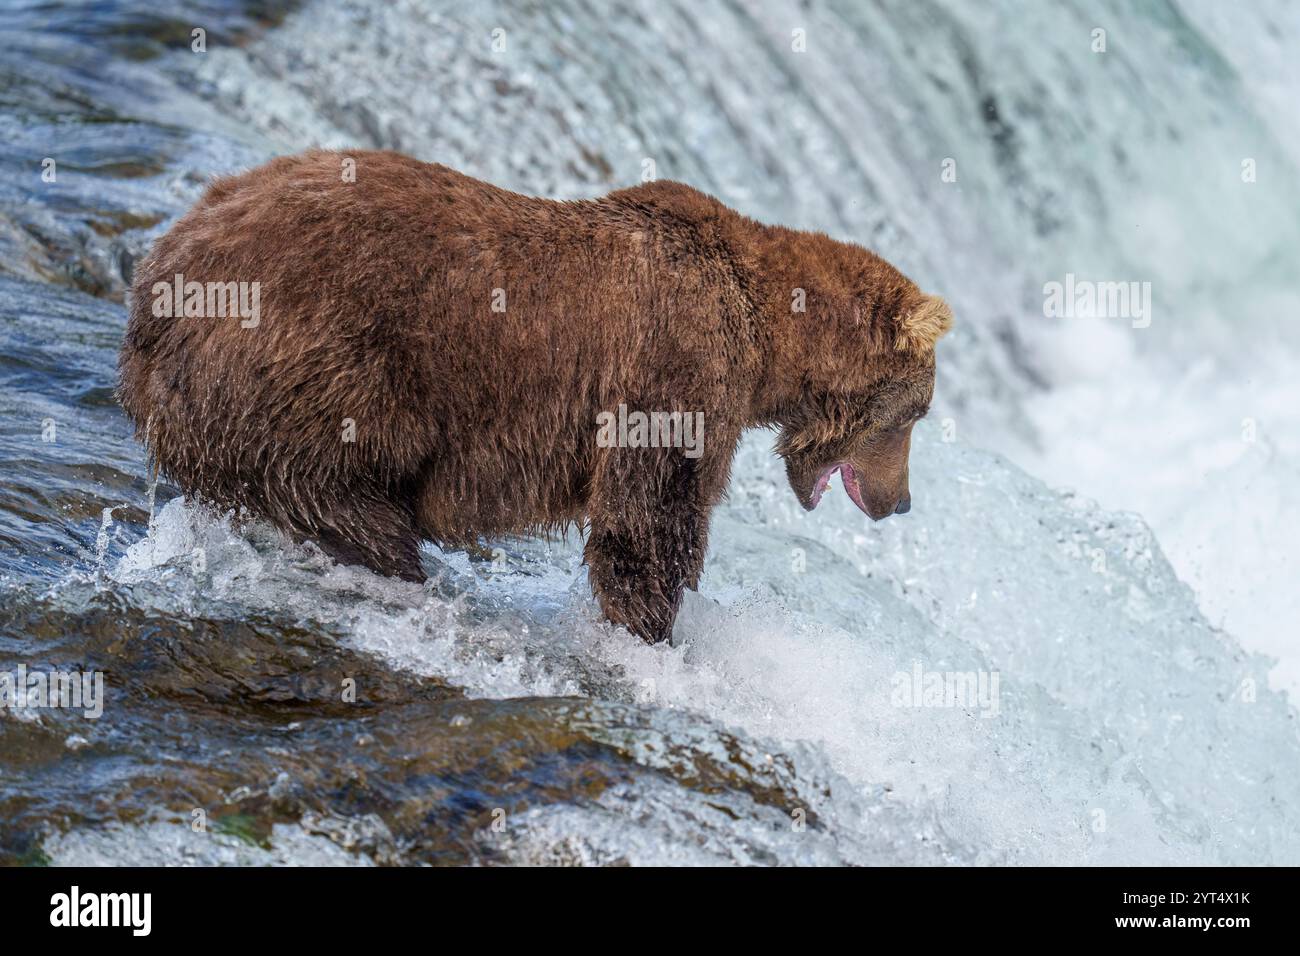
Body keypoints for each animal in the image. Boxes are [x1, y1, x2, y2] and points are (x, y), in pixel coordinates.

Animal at [118, 149, 951, 644]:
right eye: (916, 414)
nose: (902, 501)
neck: (767, 333)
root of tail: (153, 290)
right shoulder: (673, 372)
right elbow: (650, 518)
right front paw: (655, 633)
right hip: (319, 368)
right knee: (339, 496)